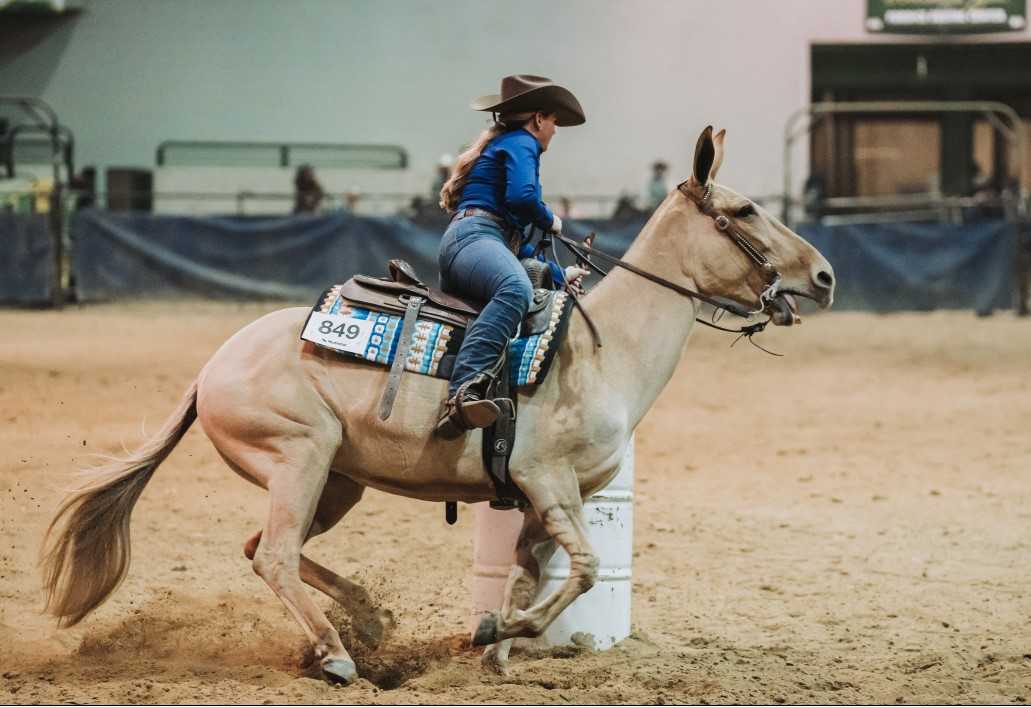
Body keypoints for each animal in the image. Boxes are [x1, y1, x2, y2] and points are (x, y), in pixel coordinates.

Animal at [42, 126, 835, 684]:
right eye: (743, 209)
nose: (824, 276)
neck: (605, 349)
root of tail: (210, 369)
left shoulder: (551, 497)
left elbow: (527, 572)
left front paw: (496, 648)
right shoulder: (548, 480)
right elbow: (580, 570)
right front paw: (492, 636)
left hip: (336, 481)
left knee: (267, 548)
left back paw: (368, 618)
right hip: (300, 458)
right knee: (273, 555)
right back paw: (337, 653)